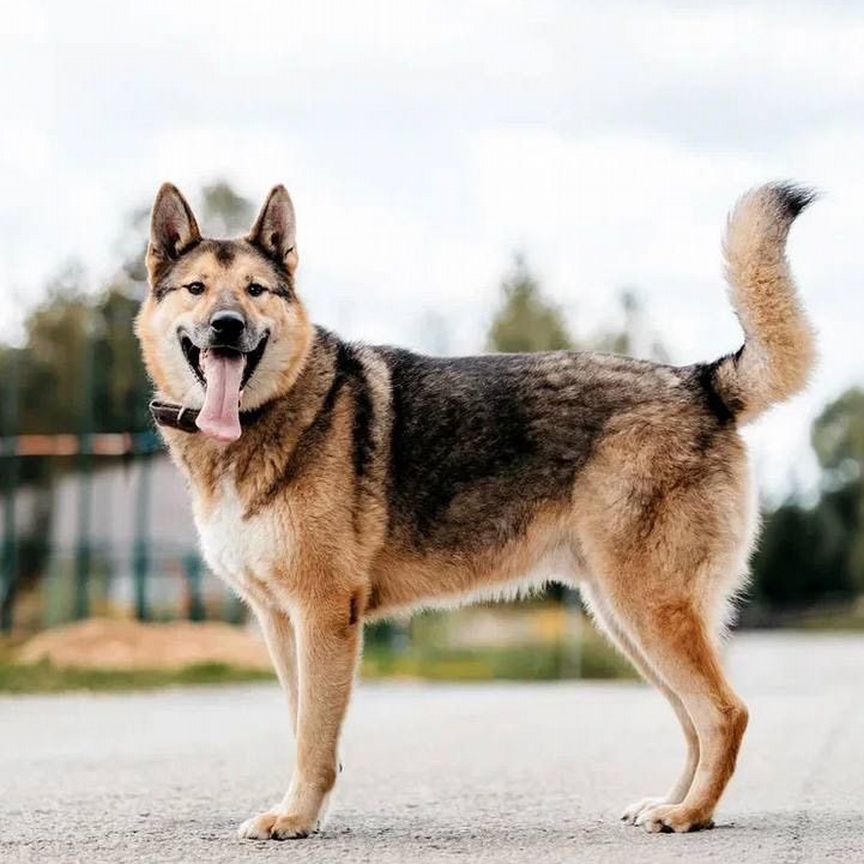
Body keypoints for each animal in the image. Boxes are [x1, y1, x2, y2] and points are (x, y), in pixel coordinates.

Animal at [137, 181, 816, 836]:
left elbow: (313, 738)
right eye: (197, 289)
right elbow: (302, 724)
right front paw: (302, 812)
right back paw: (673, 804)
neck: (269, 415)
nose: (227, 325)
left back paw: (690, 814)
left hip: (649, 610)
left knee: (725, 714)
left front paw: (296, 819)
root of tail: (701, 382)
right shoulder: (281, 622)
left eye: (255, 290)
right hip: (626, 620)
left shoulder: (323, 615)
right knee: (693, 722)